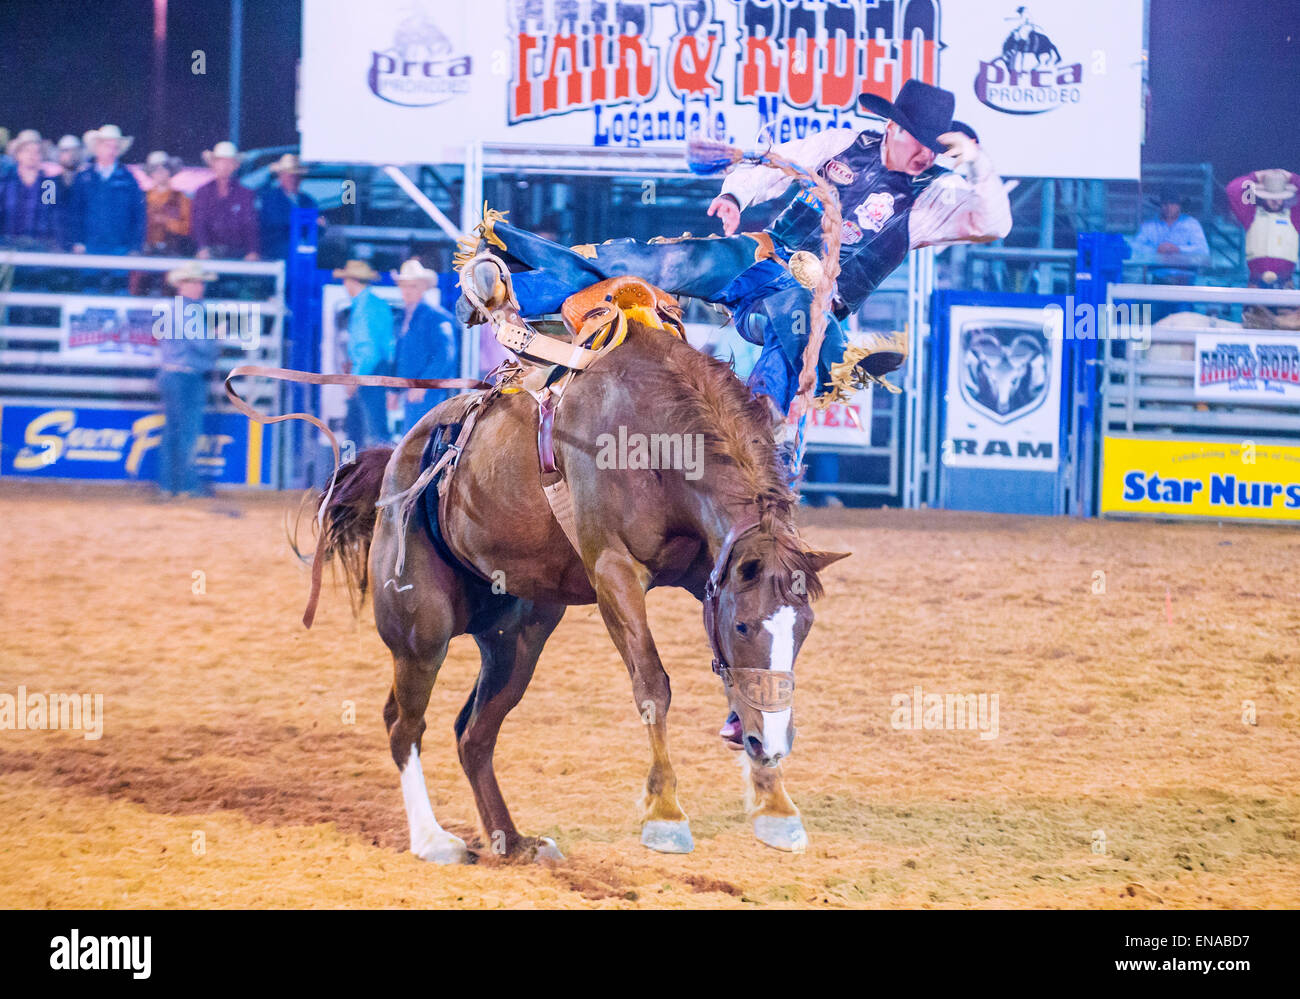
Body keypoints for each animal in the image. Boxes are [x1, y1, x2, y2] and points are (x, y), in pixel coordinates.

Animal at [309, 308, 848, 862]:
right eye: (742, 626)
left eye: (805, 628)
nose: (776, 746)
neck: (655, 436)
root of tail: (399, 459)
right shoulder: (613, 572)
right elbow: (653, 684)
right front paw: (665, 814)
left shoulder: (709, 573)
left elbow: (738, 689)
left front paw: (776, 806)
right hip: (421, 632)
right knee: (404, 724)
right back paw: (433, 839)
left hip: (518, 639)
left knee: (474, 733)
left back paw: (512, 840)